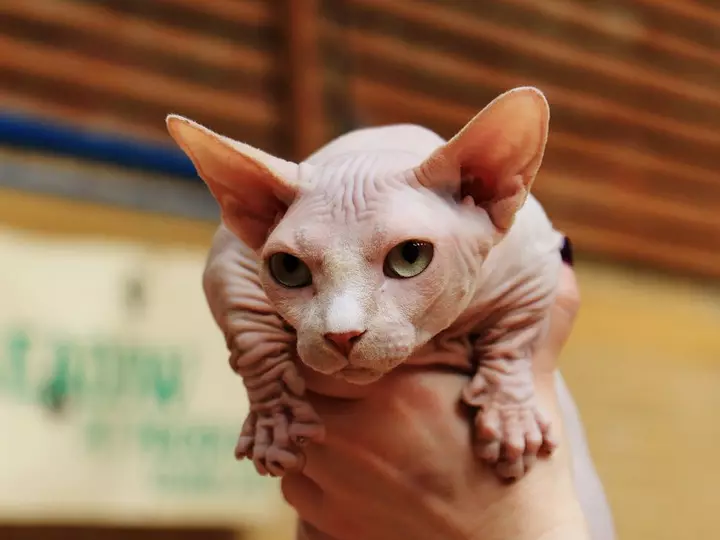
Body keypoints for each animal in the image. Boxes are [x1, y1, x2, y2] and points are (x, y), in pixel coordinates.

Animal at [167, 86, 564, 478]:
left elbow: (516, 339)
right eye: (289, 268)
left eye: (410, 257)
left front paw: (510, 418)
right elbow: (254, 342)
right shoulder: (229, 262)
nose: (342, 336)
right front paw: (276, 423)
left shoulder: (536, 261)